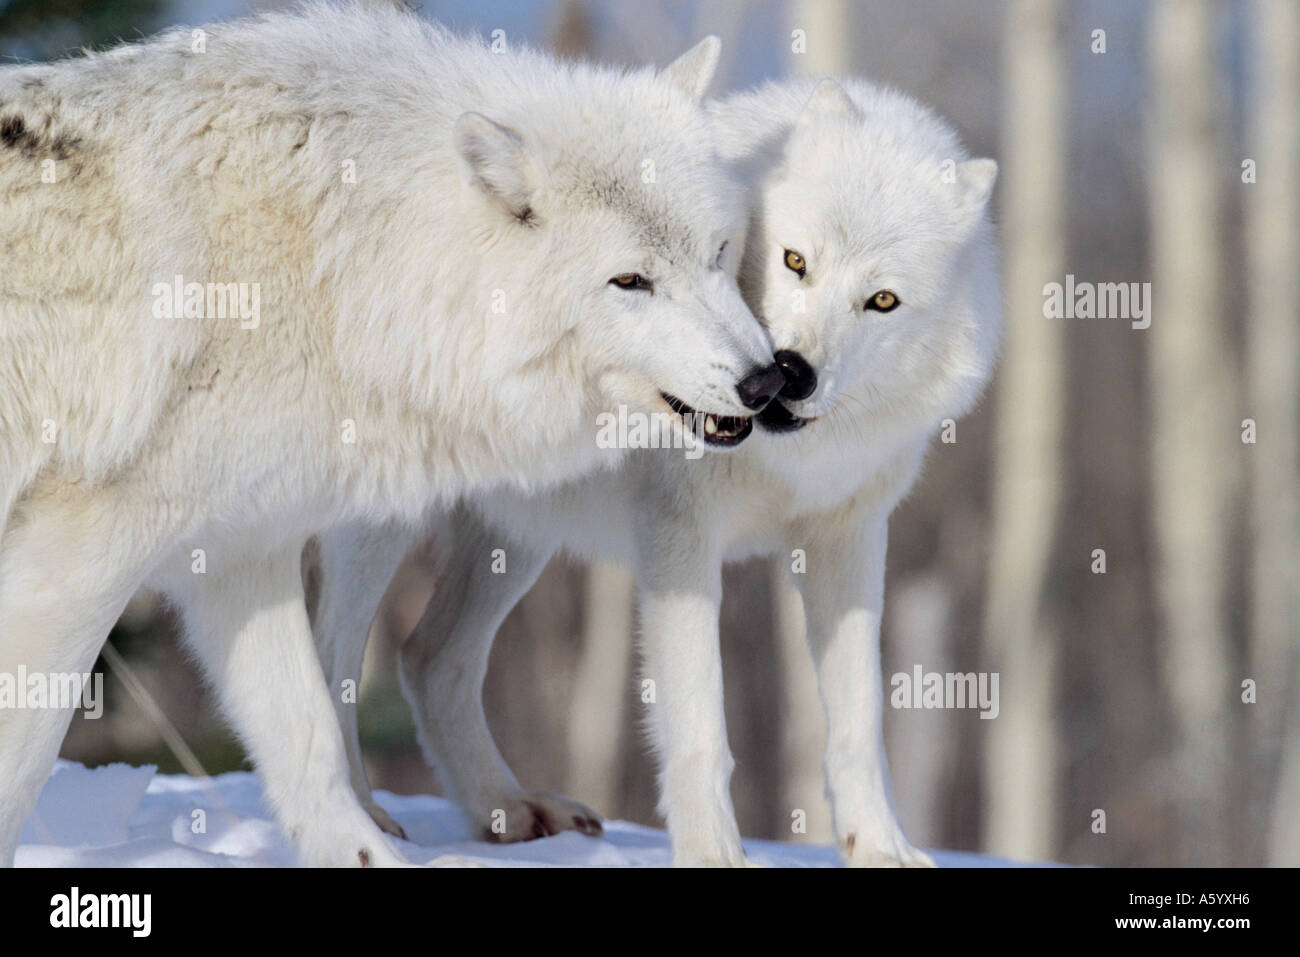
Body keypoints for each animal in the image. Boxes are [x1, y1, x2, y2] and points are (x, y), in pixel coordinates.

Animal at [0, 2, 781, 867]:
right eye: (630, 281)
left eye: (717, 252)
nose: (767, 381)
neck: (337, 252)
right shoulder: (77, 557)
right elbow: (21, 761)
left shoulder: (240, 547)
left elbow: (304, 735)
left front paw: (362, 850)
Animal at [317, 76, 1001, 866]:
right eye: (797, 261)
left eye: (882, 300)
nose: (788, 373)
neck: (780, 460)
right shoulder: (679, 539)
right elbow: (701, 726)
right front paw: (713, 855)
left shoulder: (848, 539)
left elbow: (859, 721)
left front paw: (881, 848)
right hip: (381, 532)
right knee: (331, 657)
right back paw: (368, 819)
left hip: (517, 542)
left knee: (427, 658)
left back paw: (508, 809)